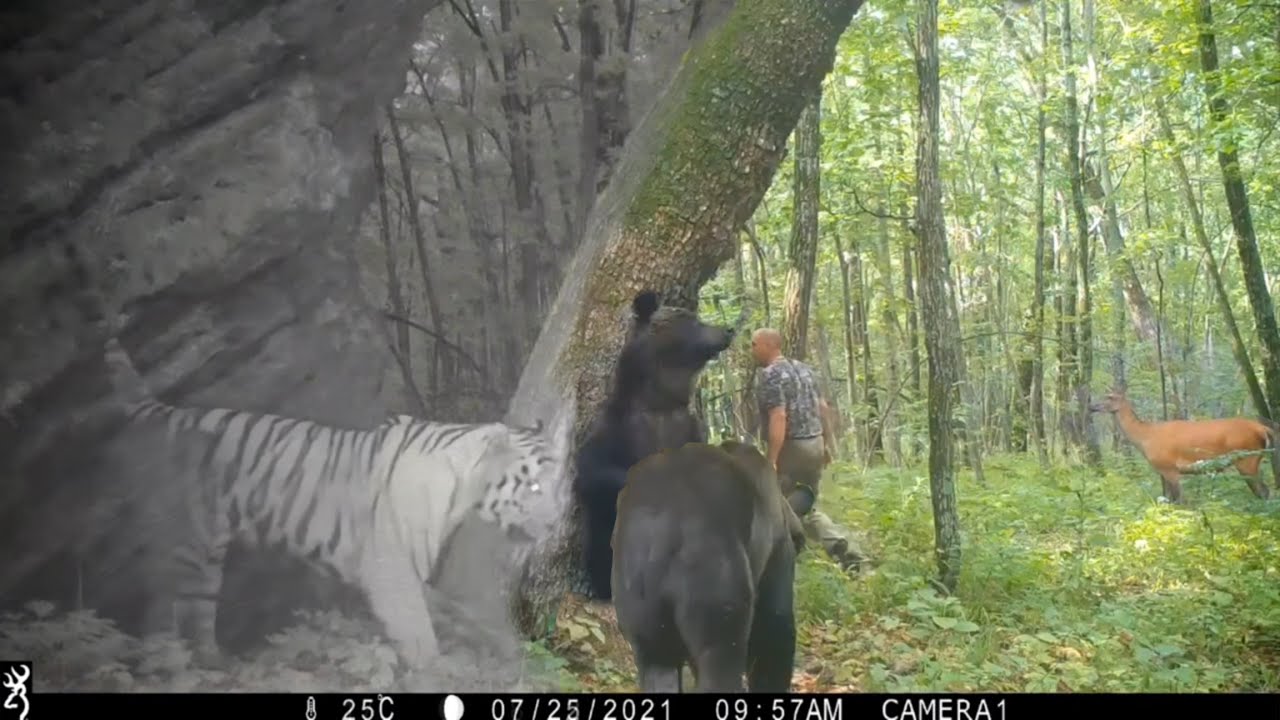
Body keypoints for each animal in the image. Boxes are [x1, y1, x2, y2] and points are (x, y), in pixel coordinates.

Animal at [101, 339, 563, 670]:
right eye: (534, 486)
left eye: (556, 484)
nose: (556, 523)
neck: (462, 490)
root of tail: (161, 411)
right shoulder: (392, 566)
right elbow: (419, 631)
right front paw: (438, 672)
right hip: (179, 540)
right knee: (159, 611)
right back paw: (167, 664)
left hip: (208, 553)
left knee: (196, 607)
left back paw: (211, 663)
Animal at [573, 290, 737, 602]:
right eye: (692, 319)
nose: (728, 330)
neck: (660, 402)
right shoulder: (615, 428)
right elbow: (591, 471)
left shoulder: (690, 428)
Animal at [611, 440, 805, 692]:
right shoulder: (777, 552)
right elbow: (775, 632)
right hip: (713, 581)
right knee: (720, 661)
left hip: (636, 595)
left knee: (657, 665)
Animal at [1089, 389, 1279, 503]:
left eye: (1110, 397)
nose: (1092, 406)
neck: (1146, 437)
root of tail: (1263, 428)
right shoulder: (1164, 472)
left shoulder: (1169, 468)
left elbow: (1180, 501)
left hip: (1247, 457)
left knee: (1264, 491)